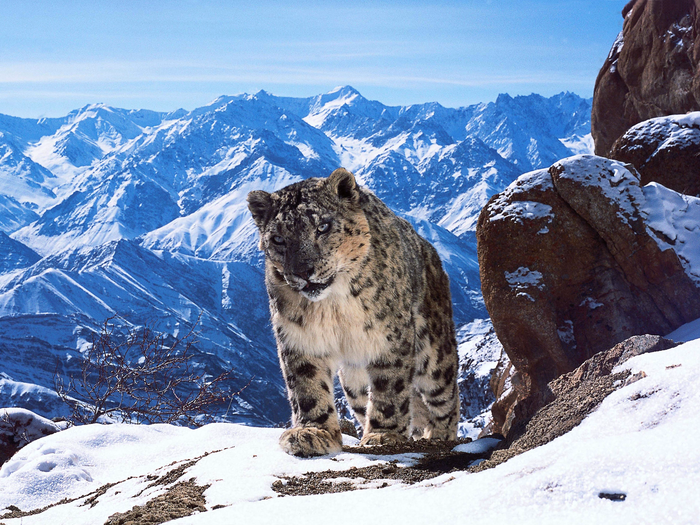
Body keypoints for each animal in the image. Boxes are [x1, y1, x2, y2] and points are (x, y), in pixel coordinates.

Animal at [247, 168, 459, 457]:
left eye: (322, 227)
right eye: (278, 239)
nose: (303, 271)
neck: (333, 306)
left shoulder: (389, 337)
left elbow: (390, 386)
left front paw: (383, 435)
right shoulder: (299, 338)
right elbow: (307, 387)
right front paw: (313, 432)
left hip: (435, 352)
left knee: (445, 397)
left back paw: (439, 436)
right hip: (354, 384)